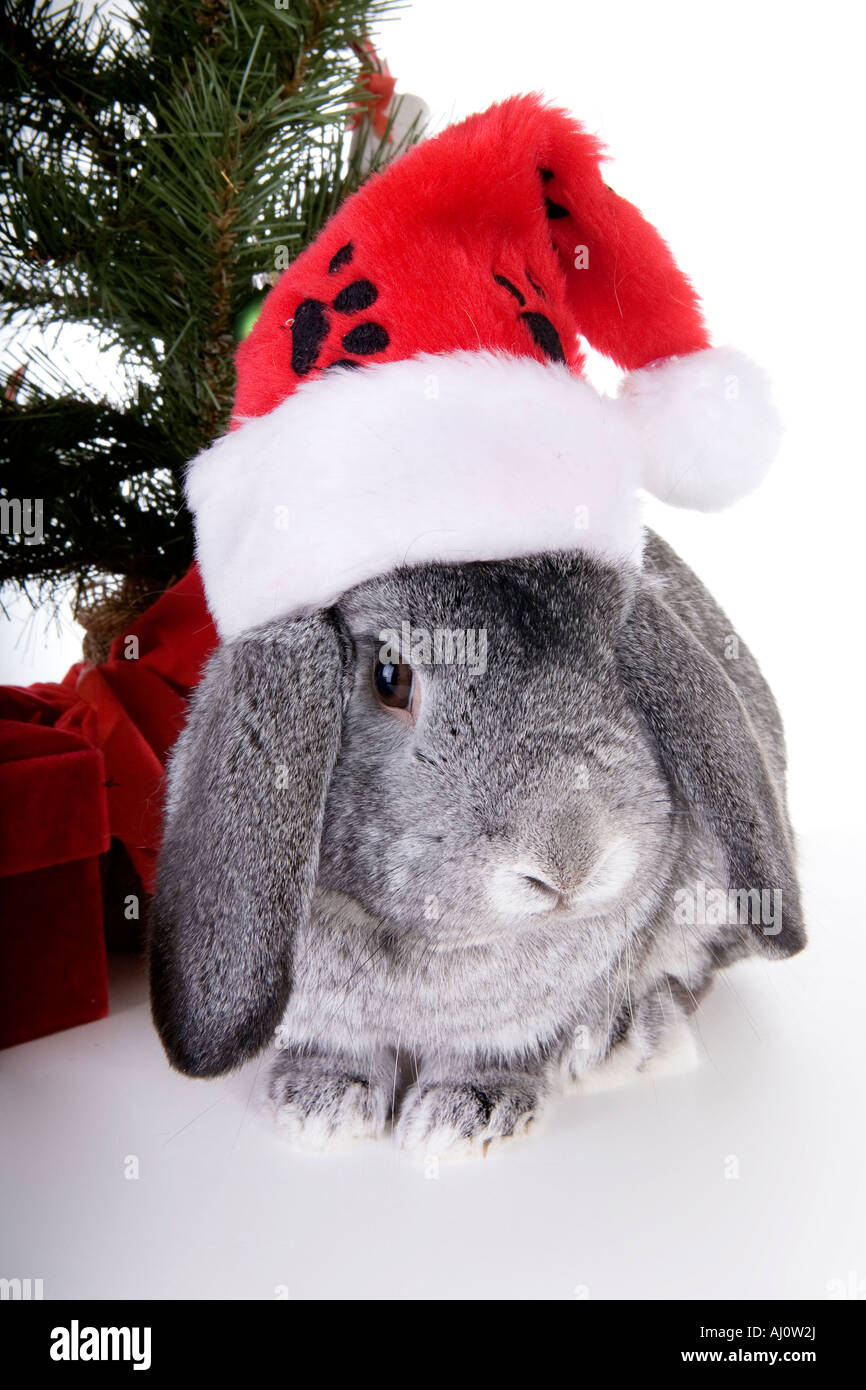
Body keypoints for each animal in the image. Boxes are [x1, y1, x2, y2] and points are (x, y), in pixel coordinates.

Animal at [149, 529, 805, 1157]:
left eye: (618, 665)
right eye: (391, 677)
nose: (570, 860)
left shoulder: (524, 1020)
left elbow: (495, 1057)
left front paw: (466, 1117)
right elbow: (339, 1052)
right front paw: (323, 1106)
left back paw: (619, 1046)